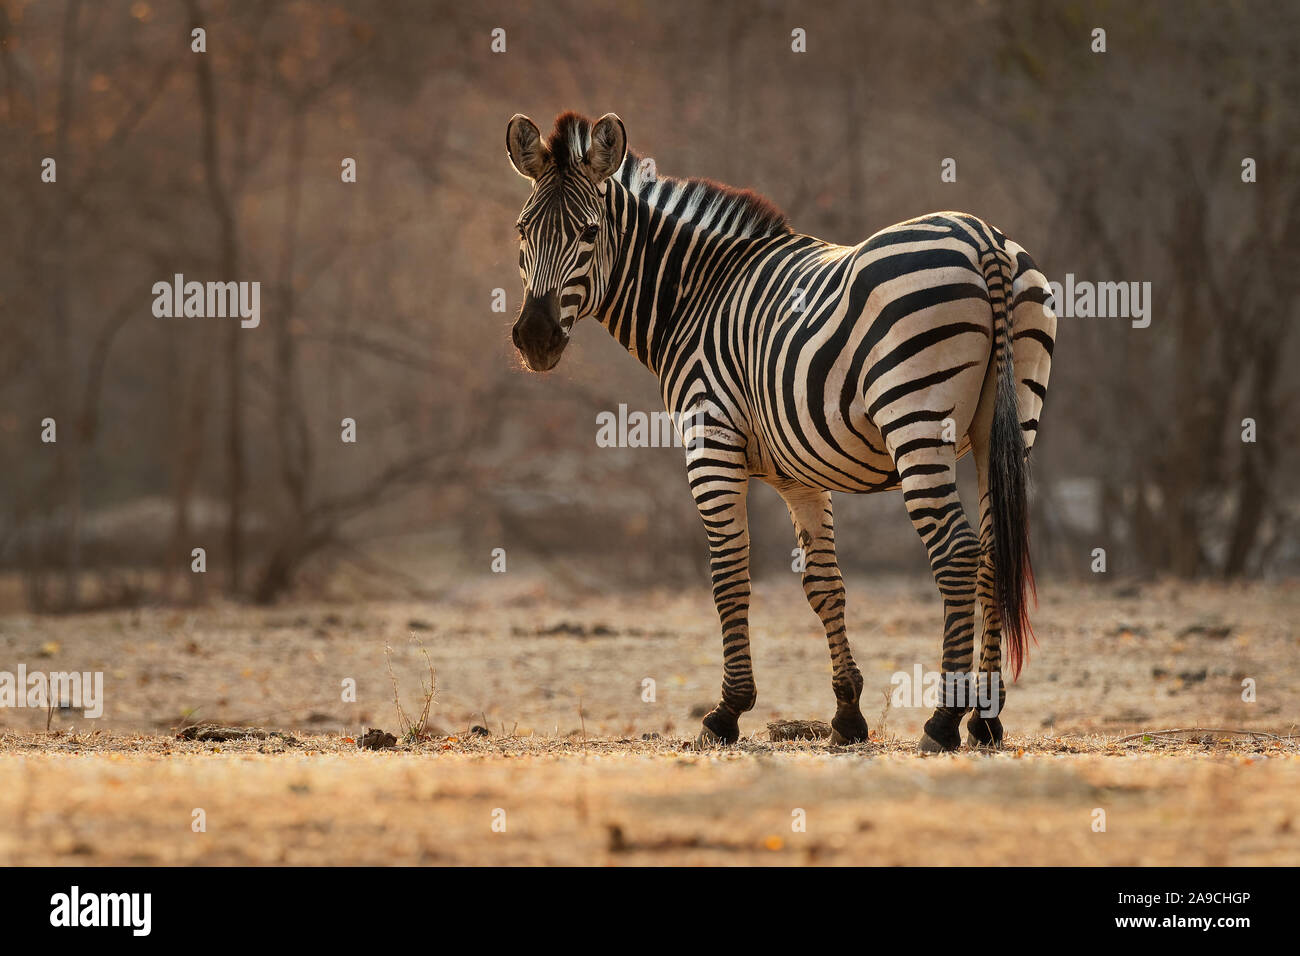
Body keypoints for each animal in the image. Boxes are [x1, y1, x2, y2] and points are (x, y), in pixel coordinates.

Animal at [505, 111, 1056, 752]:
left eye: (589, 233)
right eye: (522, 230)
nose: (535, 339)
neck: (696, 293)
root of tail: (982, 237)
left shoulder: (710, 440)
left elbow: (728, 574)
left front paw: (726, 712)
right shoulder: (800, 473)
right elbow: (824, 584)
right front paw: (847, 715)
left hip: (916, 421)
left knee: (958, 552)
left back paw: (943, 720)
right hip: (1008, 425)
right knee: (992, 556)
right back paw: (986, 719)